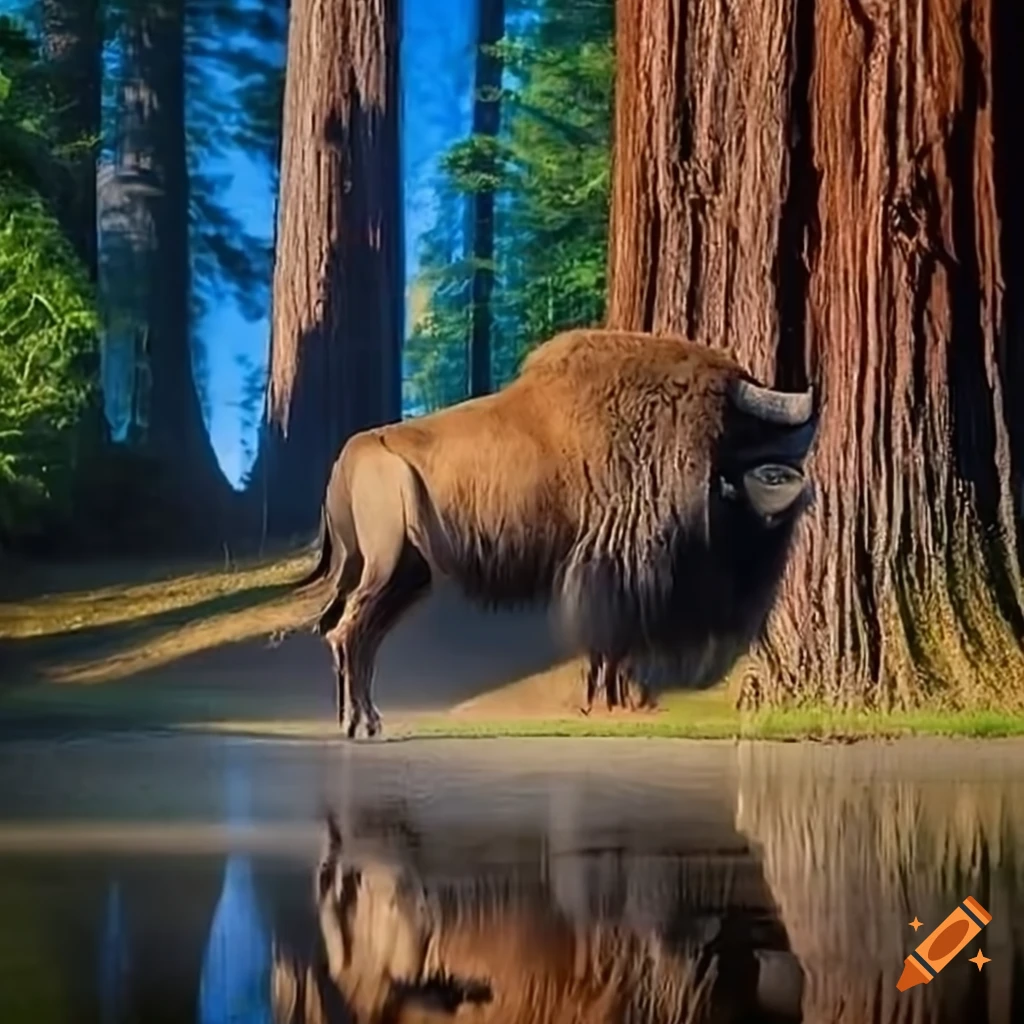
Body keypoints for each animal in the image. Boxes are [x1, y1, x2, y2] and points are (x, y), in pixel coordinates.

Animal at [296, 329, 818, 737]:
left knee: (362, 635)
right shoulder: (612, 570)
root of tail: (350, 455)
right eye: (705, 424)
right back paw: (358, 723)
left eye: (721, 426)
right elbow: (609, 641)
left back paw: (365, 719)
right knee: (349, 631)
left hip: (409, 575)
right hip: (384, 567)